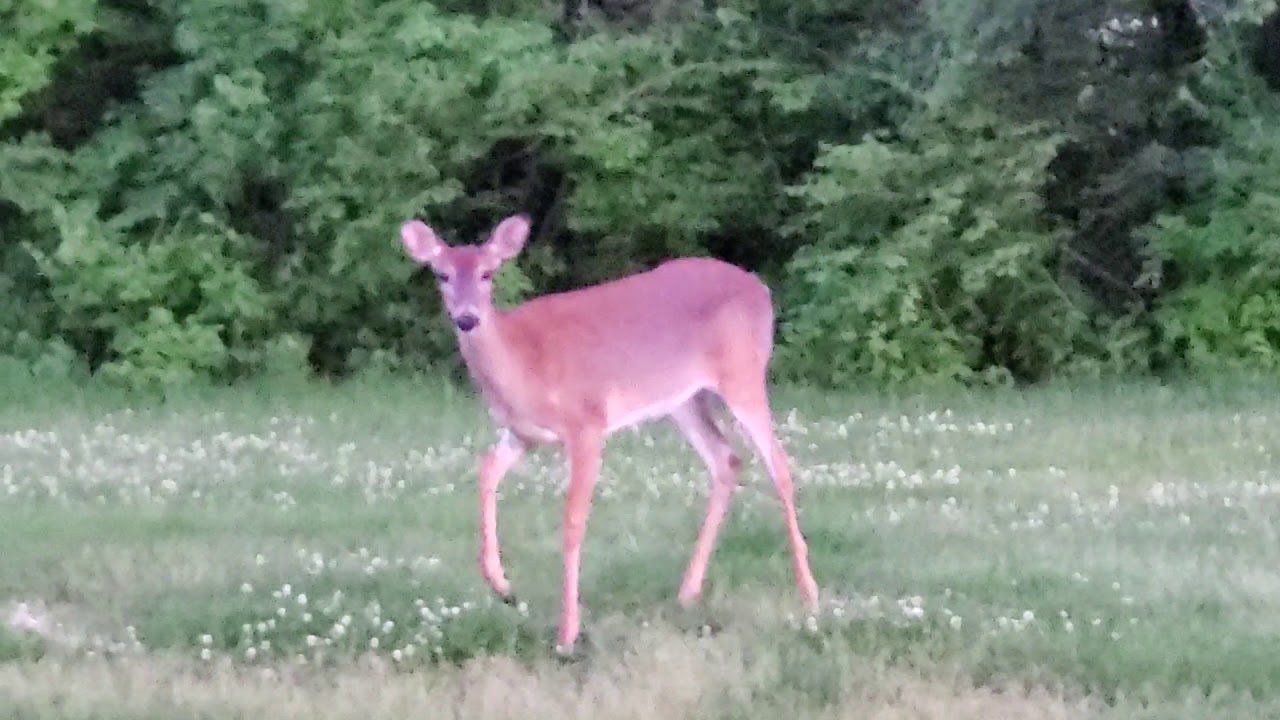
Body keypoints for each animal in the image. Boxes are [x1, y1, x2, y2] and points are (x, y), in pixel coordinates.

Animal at [398, 213, 819, 655]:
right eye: (442, 274)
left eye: (487, 273)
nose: (466, 318)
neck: (524, 364)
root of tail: (761, 289)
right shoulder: (522, 433)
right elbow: (485, 471)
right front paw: (501, 584)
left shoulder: (587, 422)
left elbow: (572, 521)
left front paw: (567, 633)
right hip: (682, 400)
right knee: (727, 459)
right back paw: (688, 591)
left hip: (743, 373)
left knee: (779, 465)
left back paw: (809, 593)